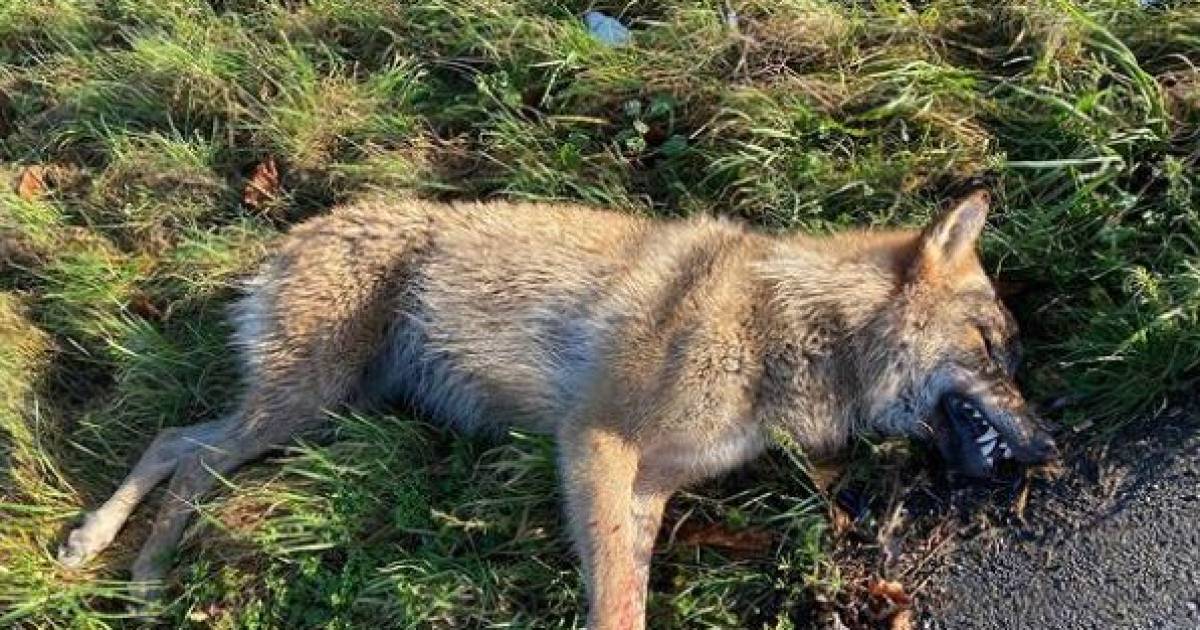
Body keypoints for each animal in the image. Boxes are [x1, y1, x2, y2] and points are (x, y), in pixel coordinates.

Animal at [58, 189, 1058, 628]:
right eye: (993, 349)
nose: (1049, 448)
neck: (788, 324)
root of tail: (289, 235)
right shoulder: (595, 444)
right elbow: (616, 601)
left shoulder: (648, 485)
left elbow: (631, 593)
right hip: (302, 405)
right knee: (184, 446)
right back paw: (124, 564)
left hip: (317, 412)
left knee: (181, 444)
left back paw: (118, 560)